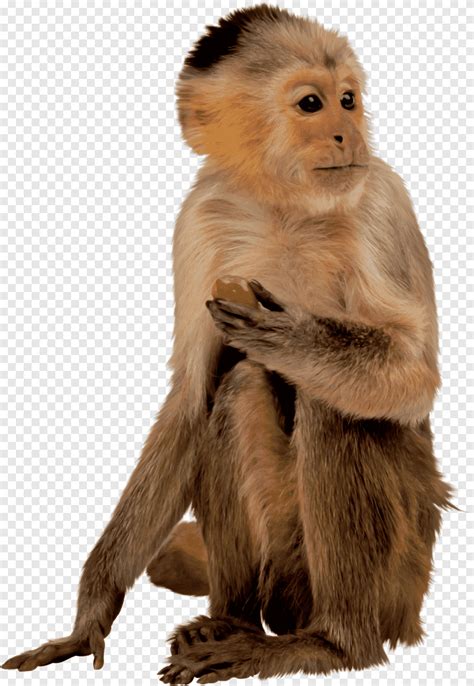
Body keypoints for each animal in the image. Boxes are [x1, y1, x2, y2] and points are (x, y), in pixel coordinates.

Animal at [2, 3, 456, 682]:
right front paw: (93, 608)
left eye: (349, 100)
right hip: (284, 572)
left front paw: (296, 341)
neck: (284, 204)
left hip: (405, 574)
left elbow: (414, 378)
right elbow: (191, 400)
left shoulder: (382, 200)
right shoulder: (200, 217)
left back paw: (334, 643)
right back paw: (233, 622)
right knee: (236, 388)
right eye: (312, 104)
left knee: (332, 407)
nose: (348, 134)